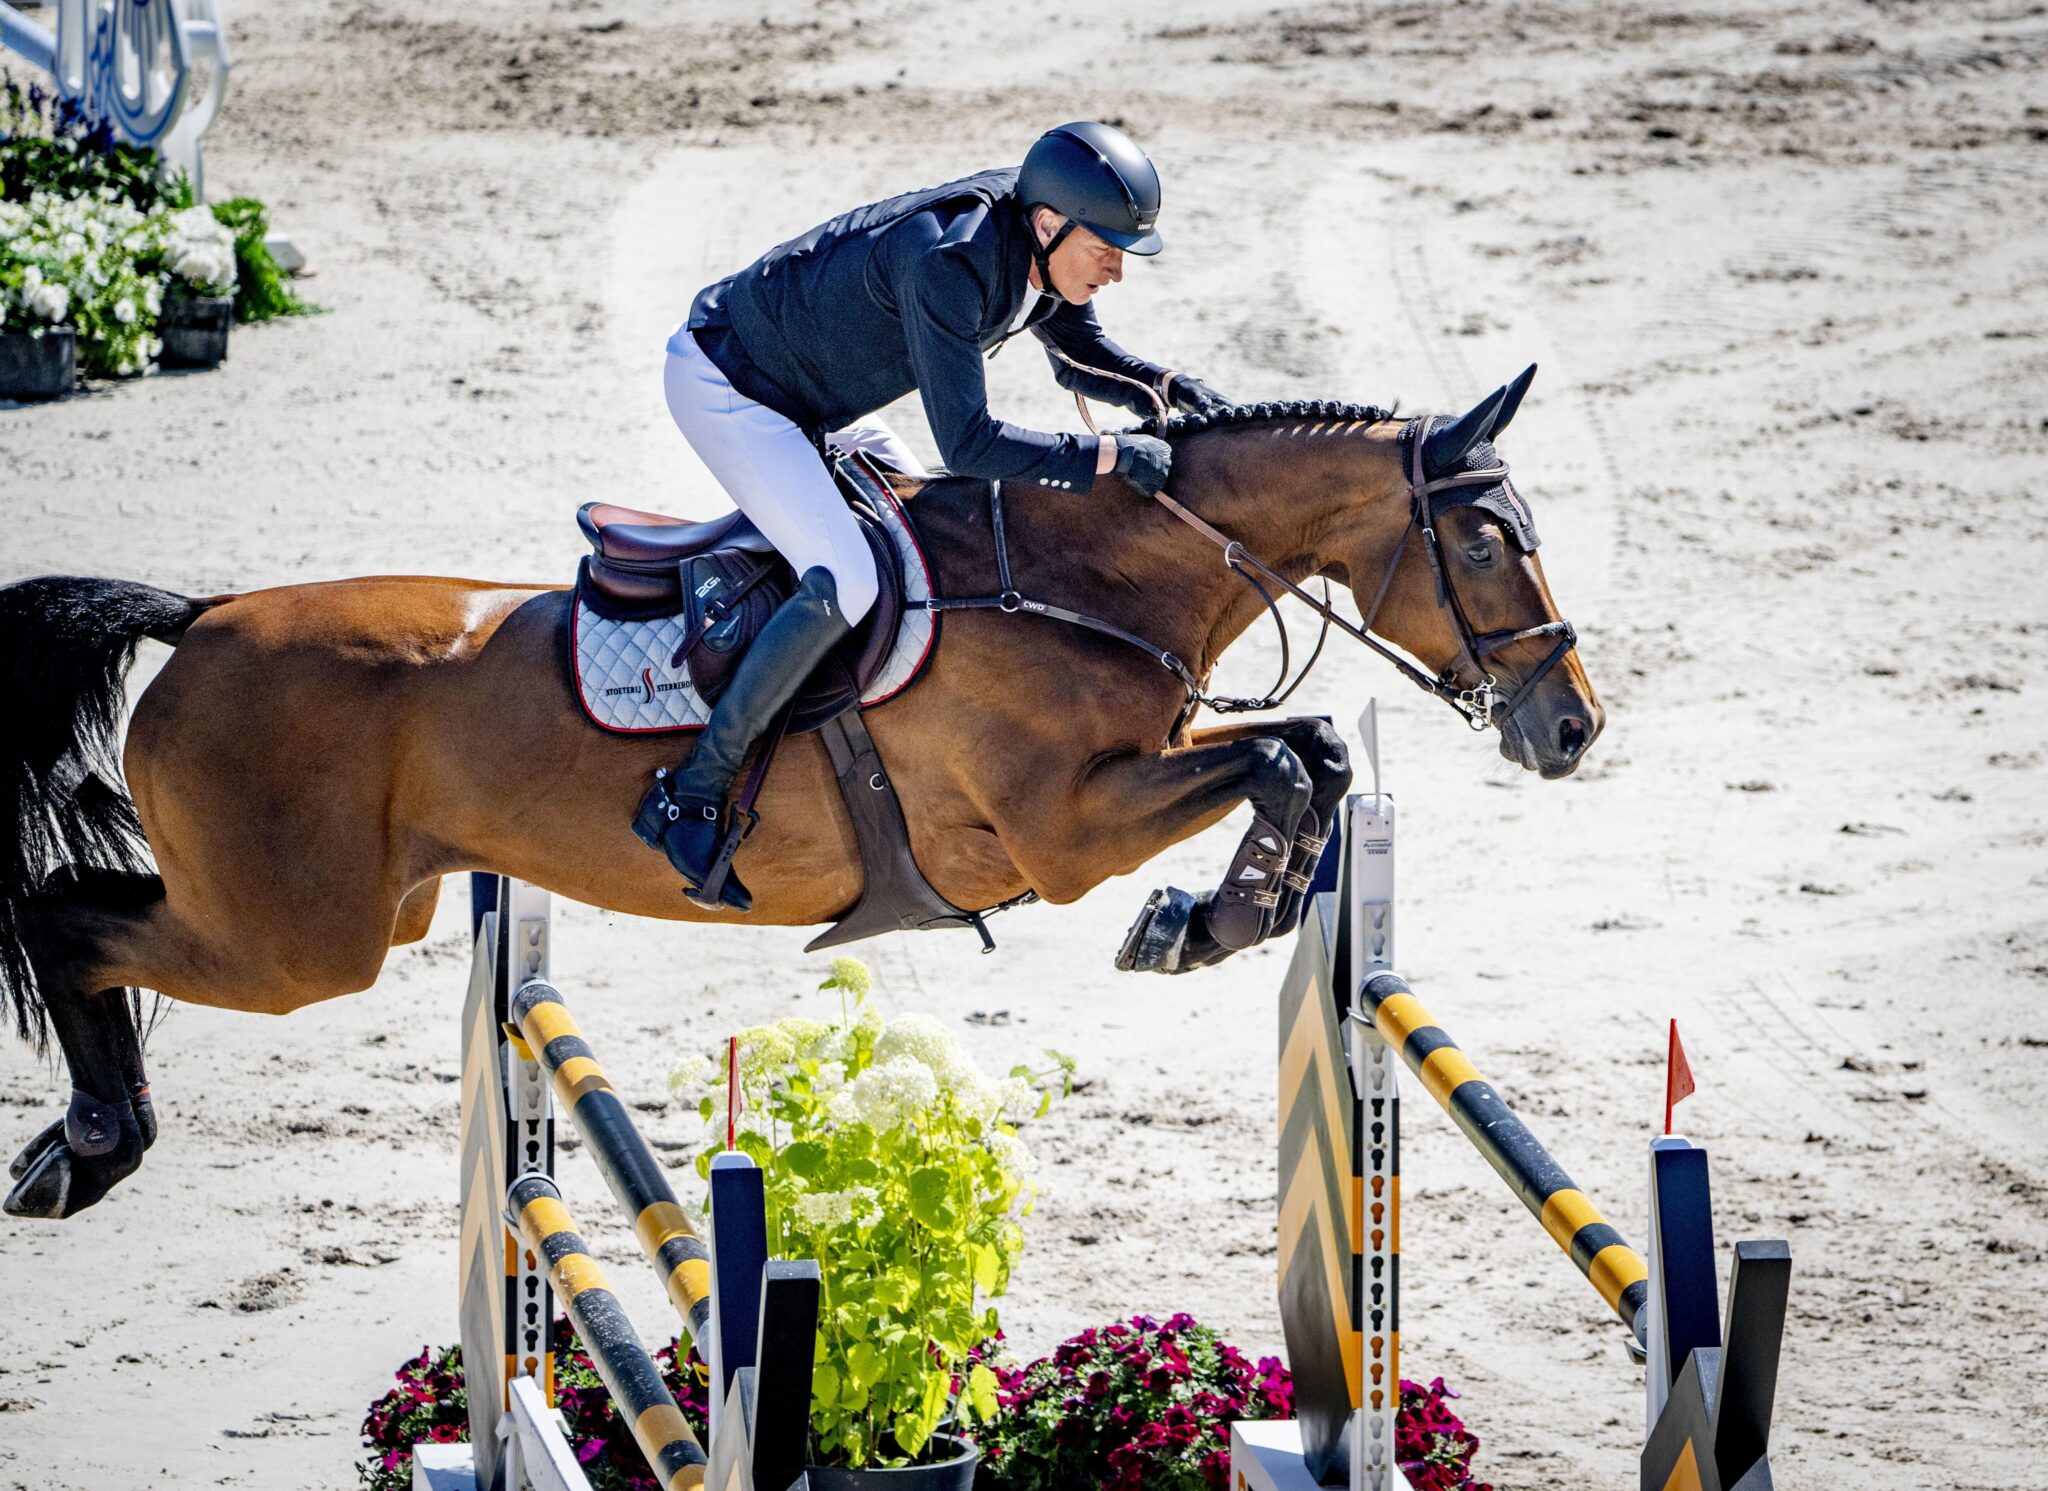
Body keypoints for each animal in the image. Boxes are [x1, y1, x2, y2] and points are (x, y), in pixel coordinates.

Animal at [0, 369, 1602, 1220]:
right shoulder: (1059, 833)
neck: (1079, 578)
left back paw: (76, 1146)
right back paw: (90, 1145)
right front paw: (1193, 921)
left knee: (80, 911)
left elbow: (1315, 750)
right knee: (64, 916)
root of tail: (202, 614)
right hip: (296, 941)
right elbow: (1284, 751)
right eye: (1483, 538)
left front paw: (1215, 915)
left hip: (350, 917)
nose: (1571, 725)